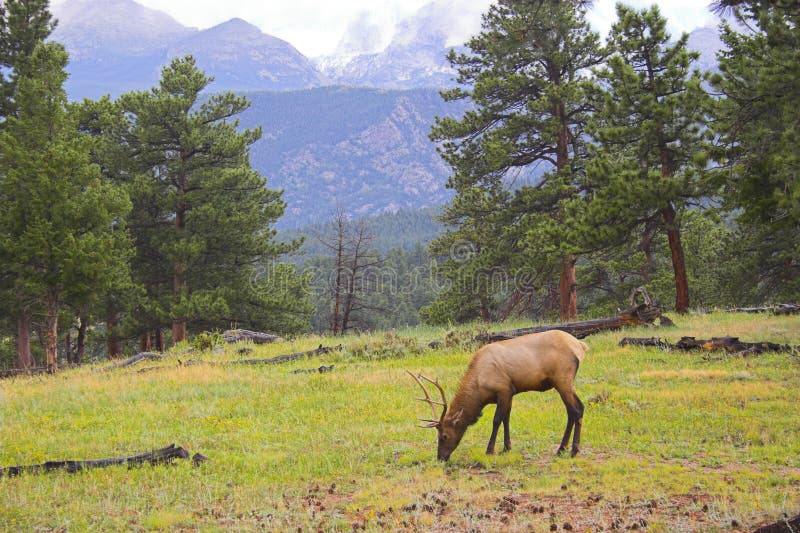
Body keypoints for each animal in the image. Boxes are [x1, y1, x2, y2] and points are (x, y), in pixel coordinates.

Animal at [408, 329, 588, 461]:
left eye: (444, 436)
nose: (440, 457)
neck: (479, 388)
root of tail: (580, 345)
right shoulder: (510, 393)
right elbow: (506, 419)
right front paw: (506, 448)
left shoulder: (503, 390)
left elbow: (496, 420)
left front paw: (490, 450)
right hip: (563, 382)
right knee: (573, 410)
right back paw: (562, 449)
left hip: (562, 379)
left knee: (576, 409)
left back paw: (572, 450)